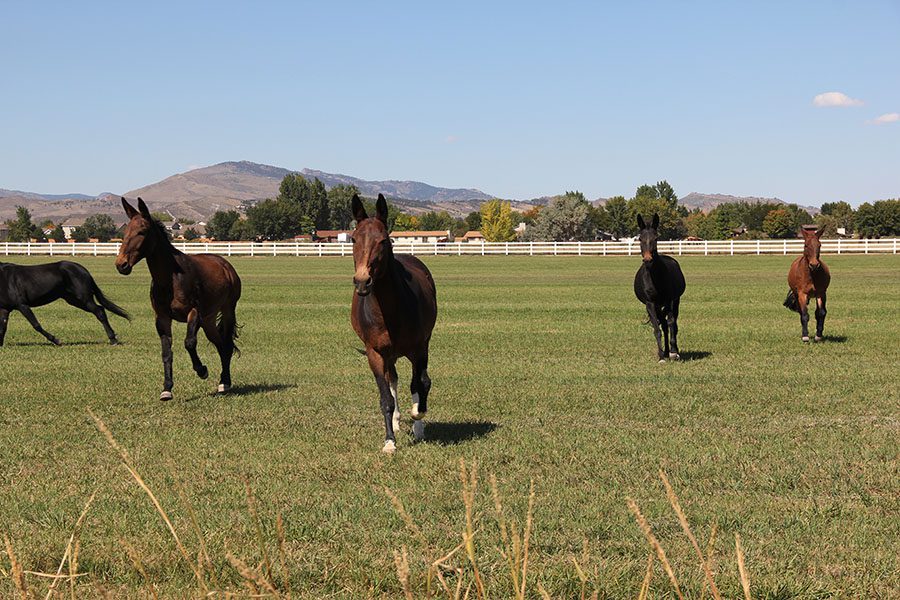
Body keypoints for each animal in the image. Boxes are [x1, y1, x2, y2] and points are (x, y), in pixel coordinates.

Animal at [0, 260, 129, 346]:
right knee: (100, 309)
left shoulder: (22, 305)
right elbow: (3, 327)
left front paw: (56, 340)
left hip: (84, 299)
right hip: (74, 300)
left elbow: (36, 325)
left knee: (99, 311)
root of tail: (83, 270)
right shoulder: (4, 309)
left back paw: (113, 340)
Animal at [115, 197, 242, 400]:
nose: (121, 264)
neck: (171, 279)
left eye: (142, 231)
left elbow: (189, 343)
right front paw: (167, 388)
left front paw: (202, 370)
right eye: (125, 232)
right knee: (221, 346)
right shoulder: (162, 318)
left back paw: (225, 382)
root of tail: (225, 265)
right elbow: (166, 352)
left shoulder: (194, 314)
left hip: (227, 311)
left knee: (227, 346)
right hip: (208, 320)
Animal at [349, 194, 437, 453]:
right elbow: (386, 398)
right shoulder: (375, 353)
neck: (389, 312)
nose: (362, 281)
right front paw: (389, 441)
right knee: (393, 380)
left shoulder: (418, 349)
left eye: (382, 240)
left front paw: (418, 415)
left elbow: (420, 384)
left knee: (418, 381)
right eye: (353, 238)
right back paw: (397, 422)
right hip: (389, 355)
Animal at [633, 213, 686, 362]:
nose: (647, 260)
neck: (655, 278)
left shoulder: (670, 301)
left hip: (675, 301)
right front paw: (661, 356)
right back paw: (666, 353)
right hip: (658, 306)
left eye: (656, 238)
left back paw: (672, 351)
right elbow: (657, 329)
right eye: (640, 238)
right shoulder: (650, 304)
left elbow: (671, 323)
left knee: (671, 323)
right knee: (663, 324)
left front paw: (674, 352)